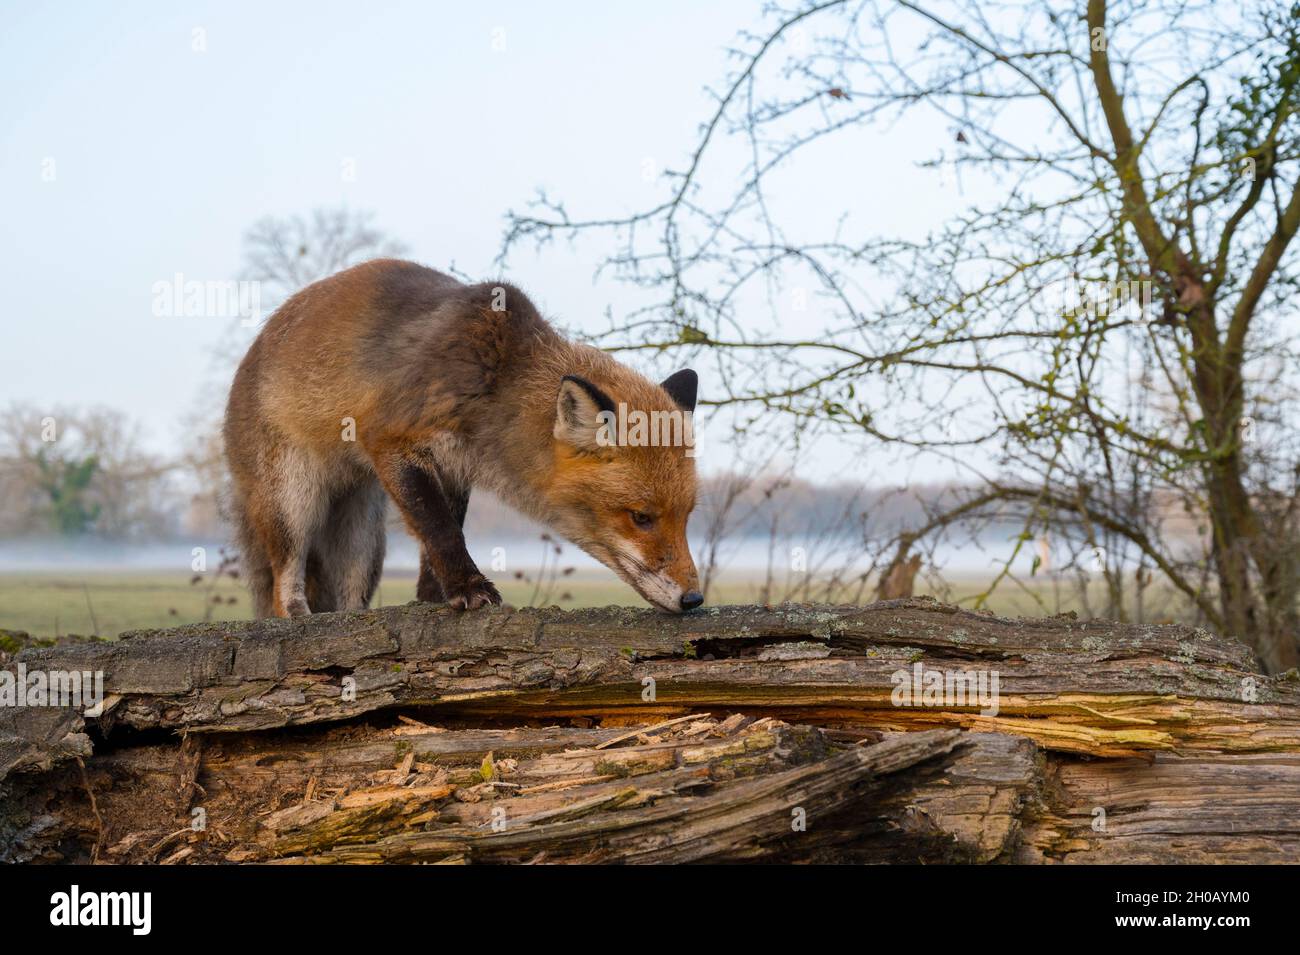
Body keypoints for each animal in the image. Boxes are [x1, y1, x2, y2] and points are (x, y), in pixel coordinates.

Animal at [223, 258, 703, 619]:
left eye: (686, 517)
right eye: (641, 517)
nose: (694, 598)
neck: (497, 377)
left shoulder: (455, 467)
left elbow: (443, 531)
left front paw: (431, 599)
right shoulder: (393, 440)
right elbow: (440, 529)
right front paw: (469, 587)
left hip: (363, 540)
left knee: (348, 598)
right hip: (294, 504)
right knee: (283, 582)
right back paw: (297, 615)